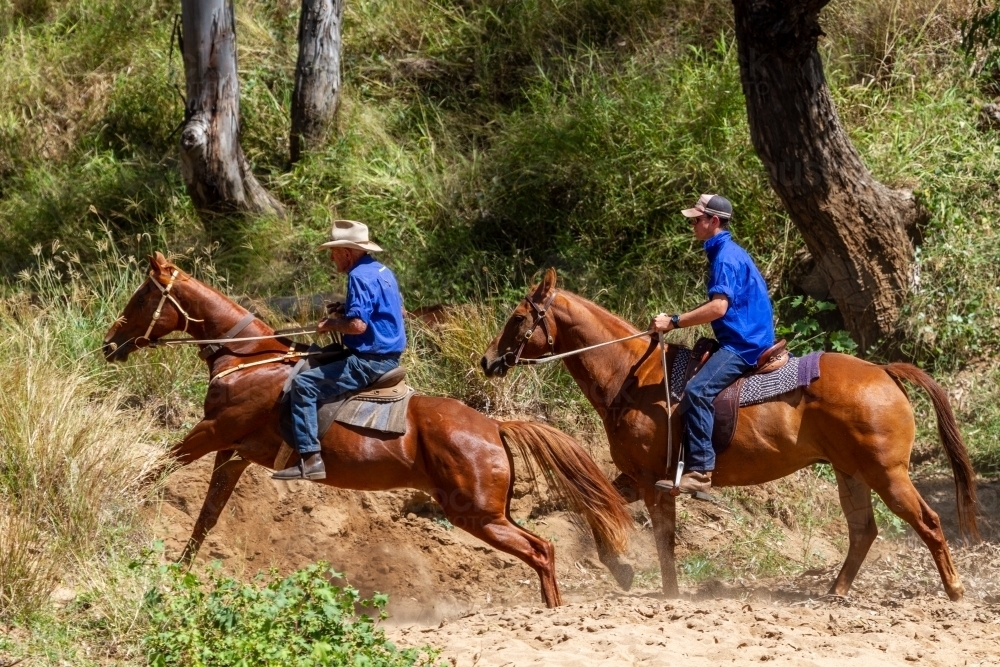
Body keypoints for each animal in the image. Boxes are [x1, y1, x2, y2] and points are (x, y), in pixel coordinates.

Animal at [102, 253, 634, 608]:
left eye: (143, 296)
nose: (109, 343)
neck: (250, 360)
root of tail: (493, 424)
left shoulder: (212, 432)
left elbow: (158, 468)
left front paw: (116, 506)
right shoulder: (232, 452)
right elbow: (207, 516)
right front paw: (178, 572)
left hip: (476, 514)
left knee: (540, 550)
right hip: (487, 513)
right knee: (543, 548)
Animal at [480, 268, 980, 601]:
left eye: (518, 317)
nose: (488, 361)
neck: (631, 376)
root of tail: (884, 372)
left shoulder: (650, 481)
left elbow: (662, 537)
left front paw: (666, 591)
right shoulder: (635, 478)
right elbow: (590, 506)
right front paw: (623, 570)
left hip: (886, 472)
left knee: (928, 523)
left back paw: (954, 589)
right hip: (850, 472)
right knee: (863, 532)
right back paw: (836, 590)